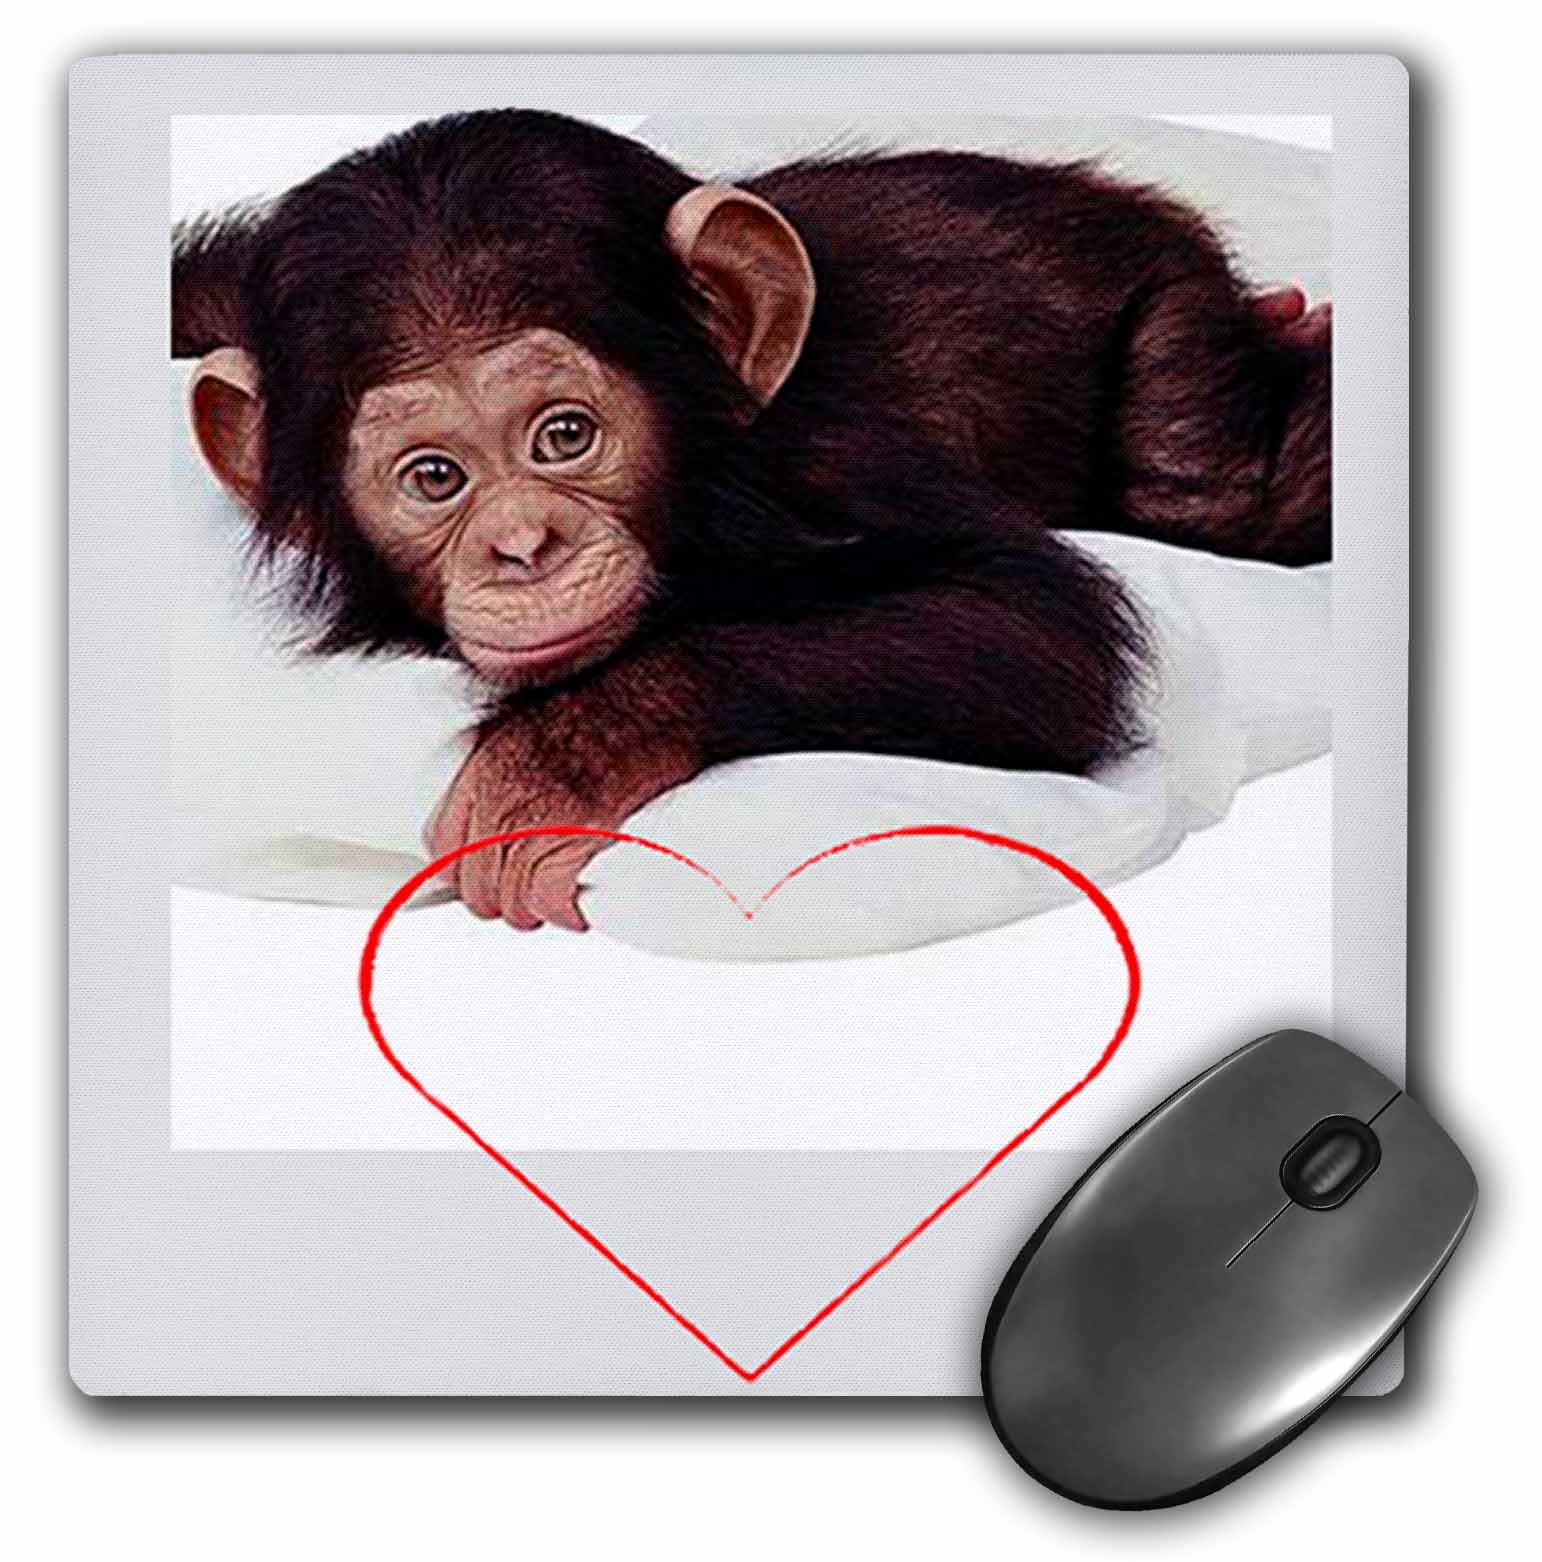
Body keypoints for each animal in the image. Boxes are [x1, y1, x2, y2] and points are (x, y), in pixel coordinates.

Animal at [173, 110, 1331, 932]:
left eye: (564, 434)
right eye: (433, 478)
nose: (522, 546)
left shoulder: (820, 463)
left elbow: (1029, 617)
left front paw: (563, 756)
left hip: (1173, 308)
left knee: (1202, 486)